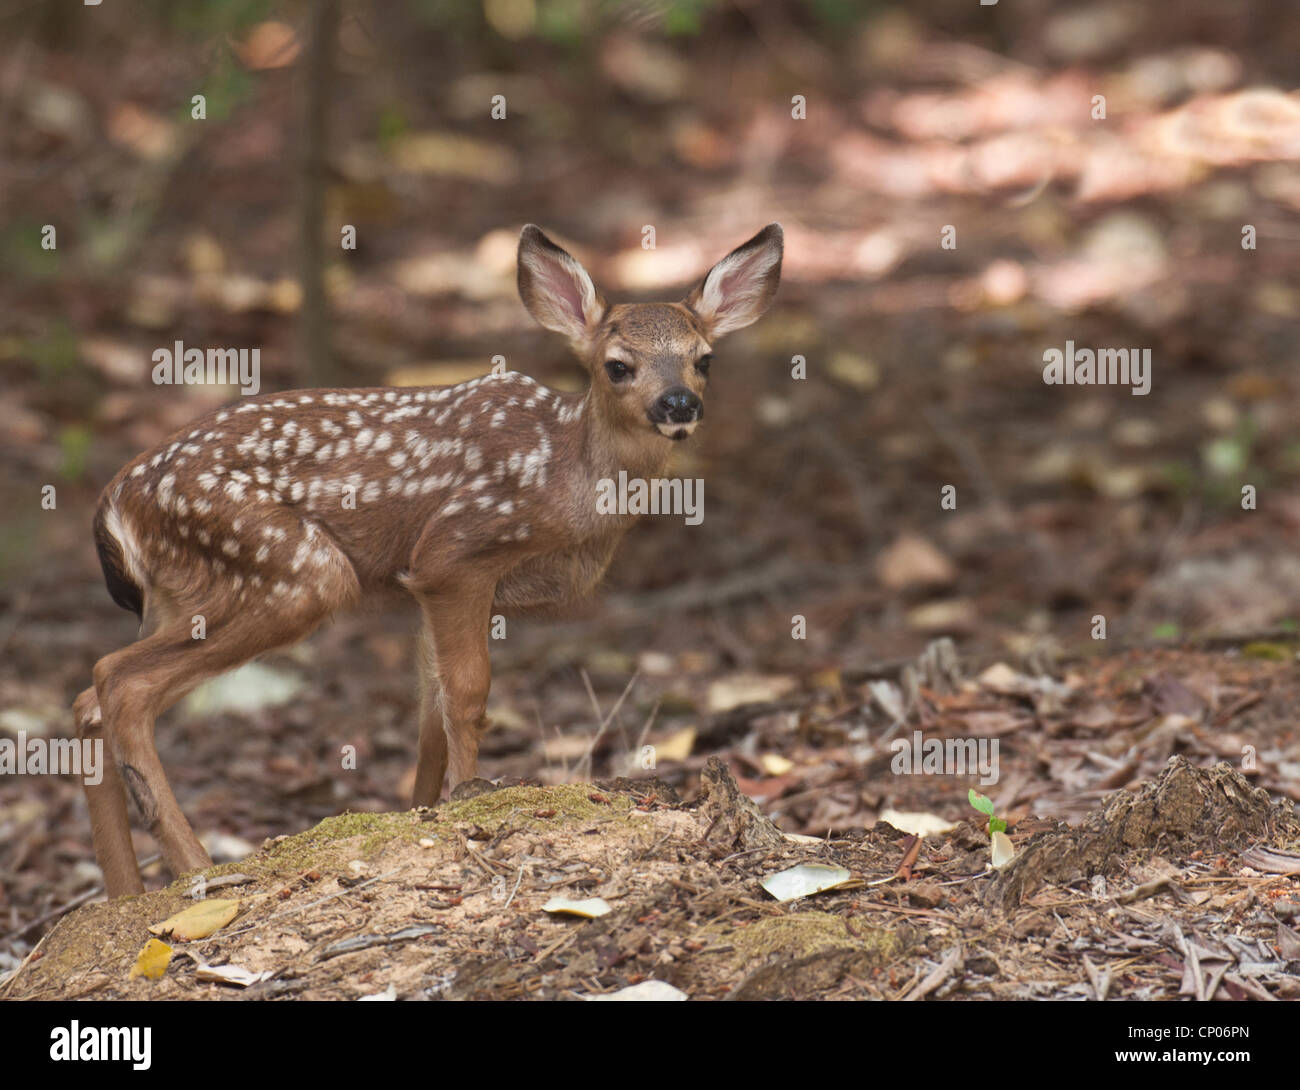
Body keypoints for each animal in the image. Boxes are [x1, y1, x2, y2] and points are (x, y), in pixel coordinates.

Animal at [73, 222, 784, 898]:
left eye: (704, 360)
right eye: (618, 366)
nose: (679, 404)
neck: (564, 477)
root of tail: (115, 502)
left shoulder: (429, 585)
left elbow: (429, 718)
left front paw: (422, 814)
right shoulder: (456, 553)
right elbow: (468, 696)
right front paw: (472, 801)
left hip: (182, 593)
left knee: (89, 698)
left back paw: (124, 897)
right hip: (283, 566)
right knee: (119, 682)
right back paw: (199, 874)